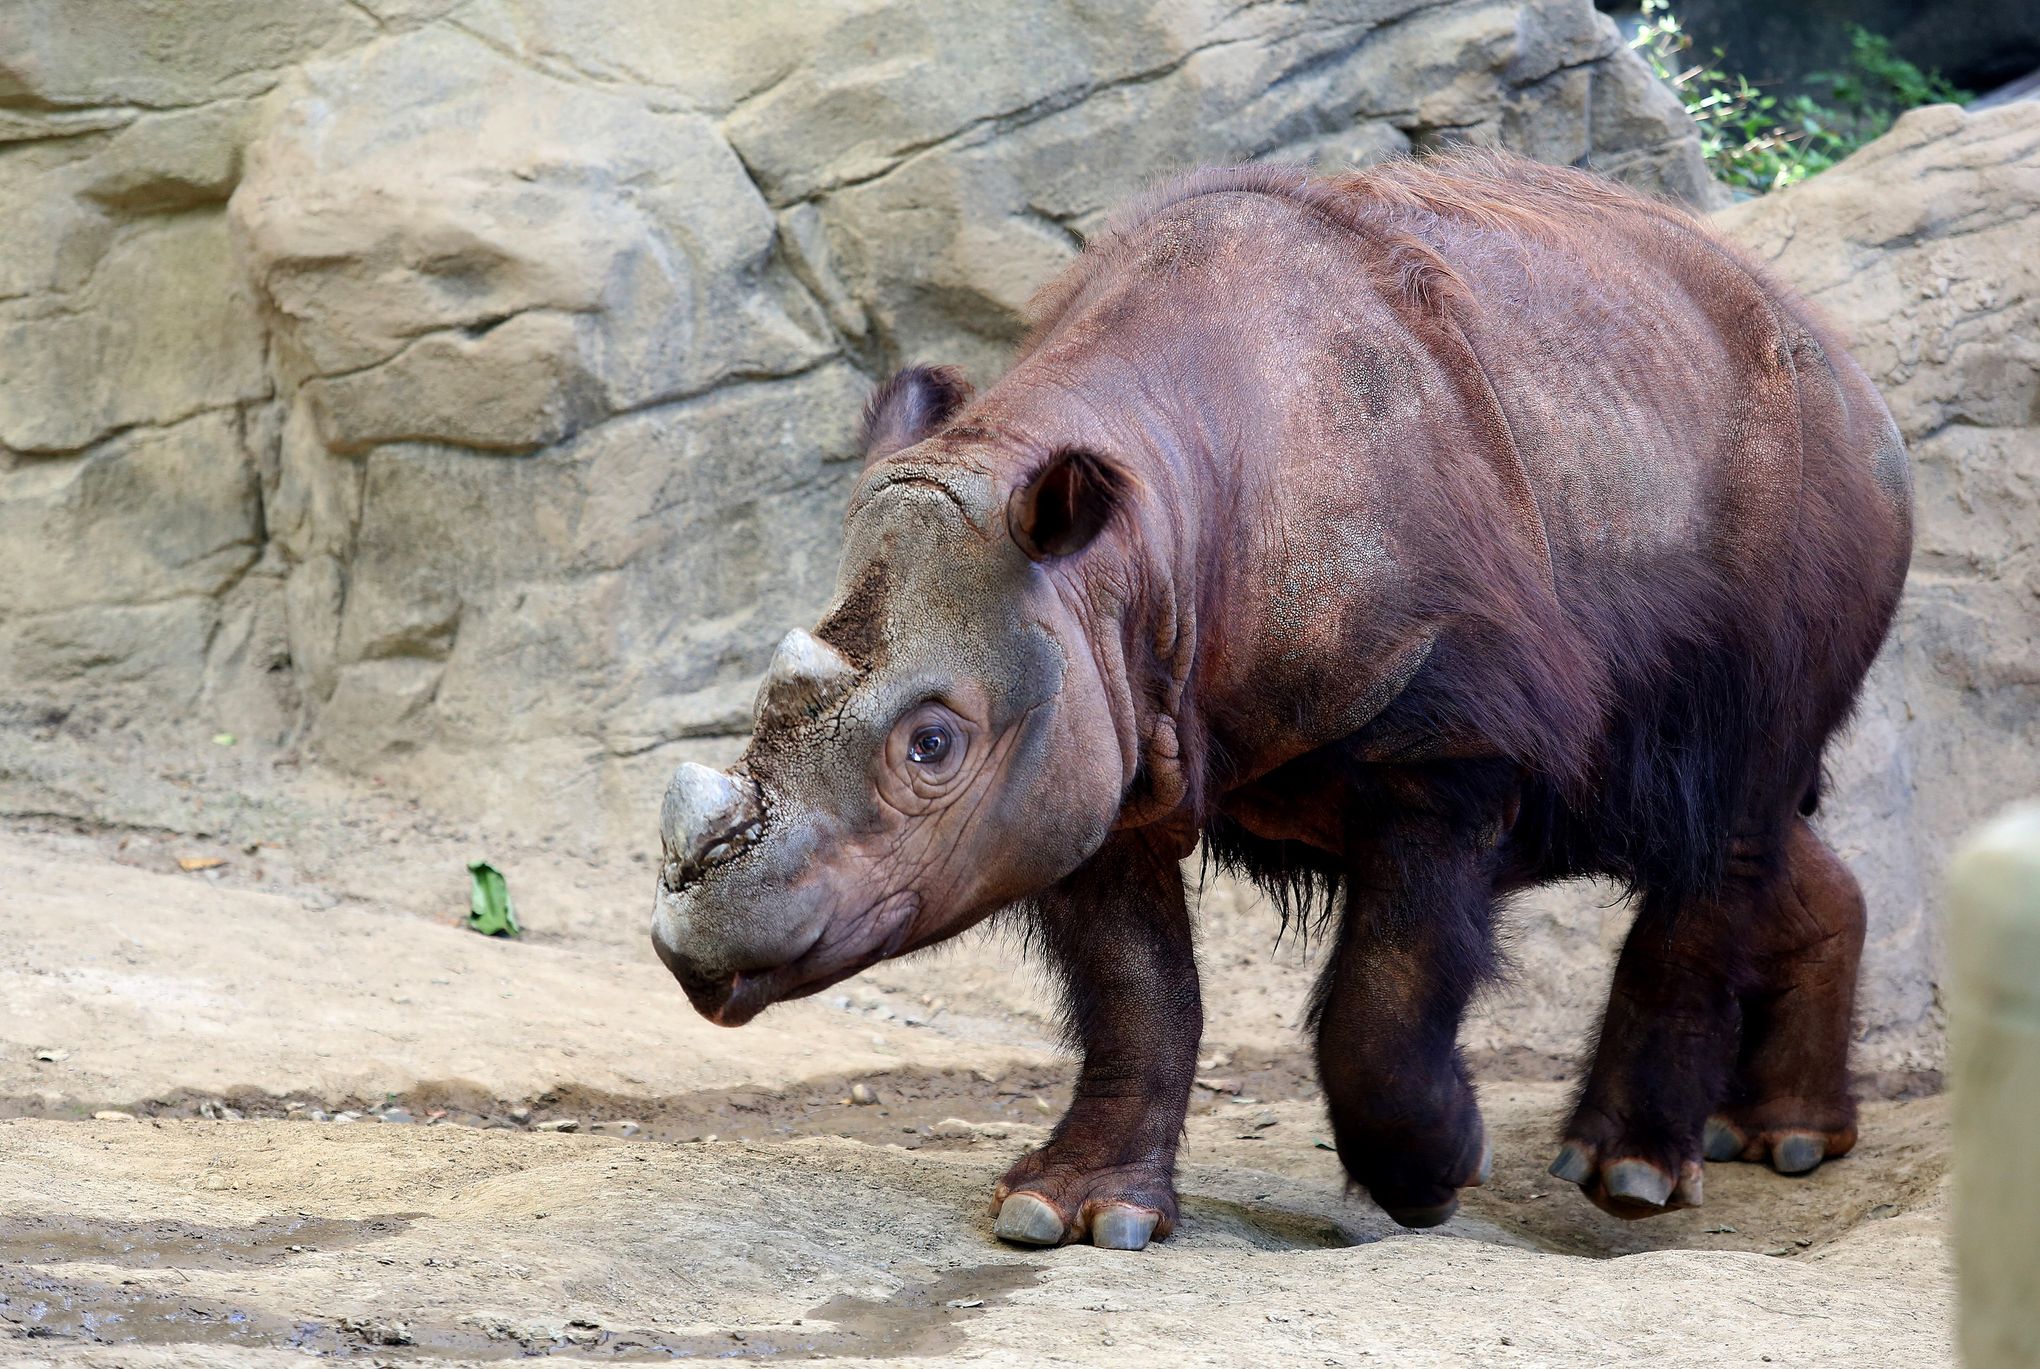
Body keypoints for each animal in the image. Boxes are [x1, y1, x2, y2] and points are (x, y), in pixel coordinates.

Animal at [651, 154, 1912, 1250]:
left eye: (931, 744)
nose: (693, 951)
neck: (1134, 542)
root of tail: (1857, 376)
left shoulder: (1445, 734)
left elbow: (1386, 992)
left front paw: (1436, 1173)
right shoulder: (1093, 729)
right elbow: (1138, 989)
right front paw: (1069, 1215)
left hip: (1818, 485)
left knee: (1733, 794)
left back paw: (1630, 1176)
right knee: (1727, 822)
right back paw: (1785, 1142)